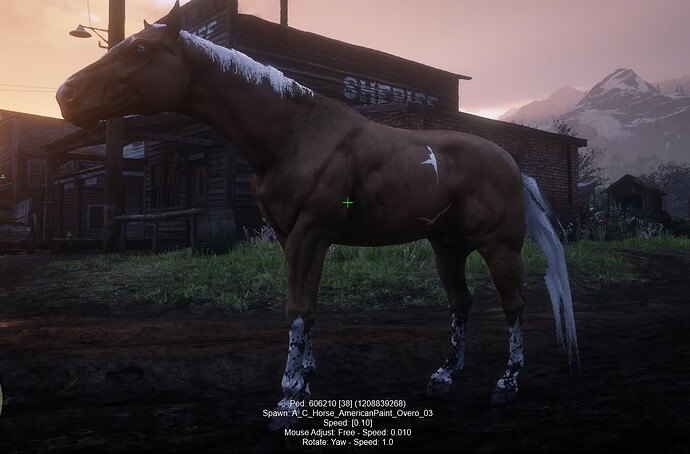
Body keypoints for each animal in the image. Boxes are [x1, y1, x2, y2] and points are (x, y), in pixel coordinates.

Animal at [57, 1, 578, 428]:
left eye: (142, 48)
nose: (66, 94)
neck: (293, 134)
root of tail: (511, 162)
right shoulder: (293, 236)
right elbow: (307, 308)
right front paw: (305, 379)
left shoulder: (309, 234)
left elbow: (298, 309)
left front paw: (289, 397)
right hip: (446, 246)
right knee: (461, 303)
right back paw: (444, 376)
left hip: (498, 246)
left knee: (513, 306)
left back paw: (507, 384)